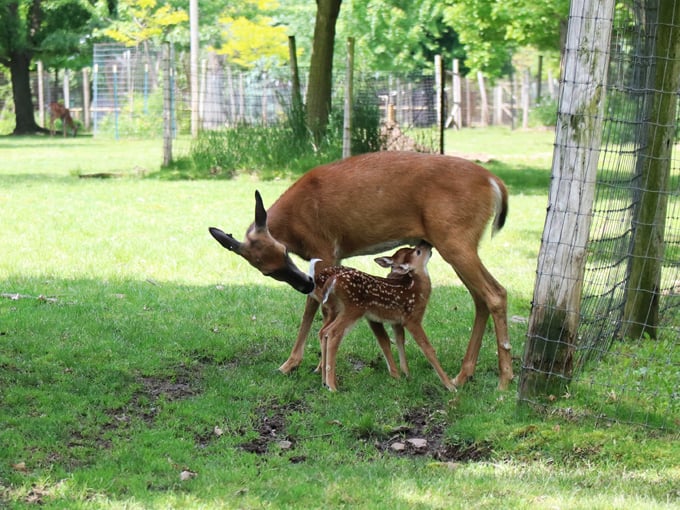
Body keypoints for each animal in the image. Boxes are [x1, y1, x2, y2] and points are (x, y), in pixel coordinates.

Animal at [313, 241, 454, 392]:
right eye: (418, 251)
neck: (416, 289)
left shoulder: (397, 321)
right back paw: (332, 386)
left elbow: (399, 341)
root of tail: (331, 280)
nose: (426, 243)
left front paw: (406, 375)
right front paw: (450, 385)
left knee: (323, 331)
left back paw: (325, 381)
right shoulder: (412, 319)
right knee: (333, 333)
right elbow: (427, 349)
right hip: (353, 309)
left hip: (336, 310)